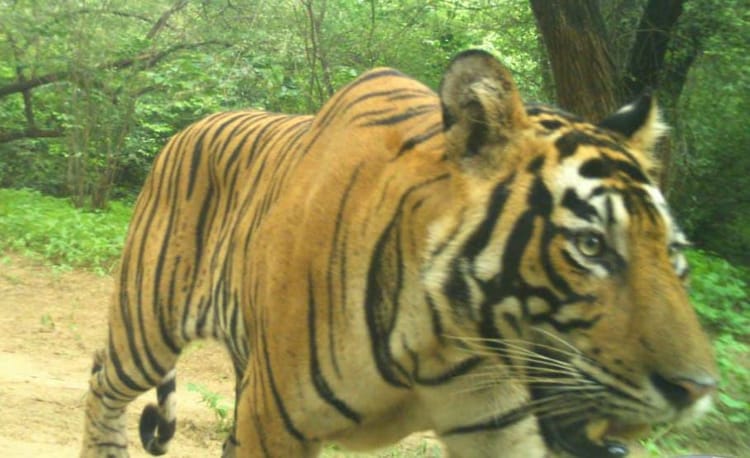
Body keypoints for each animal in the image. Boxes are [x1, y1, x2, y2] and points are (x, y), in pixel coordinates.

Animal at [80, 49, 717, 458]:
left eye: (673, 252)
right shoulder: (276, 423)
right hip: (147, 324)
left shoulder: (499, 430)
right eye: (590, 245)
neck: (439, 337)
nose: (697, 391)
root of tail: (190, 126)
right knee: (101, 380)